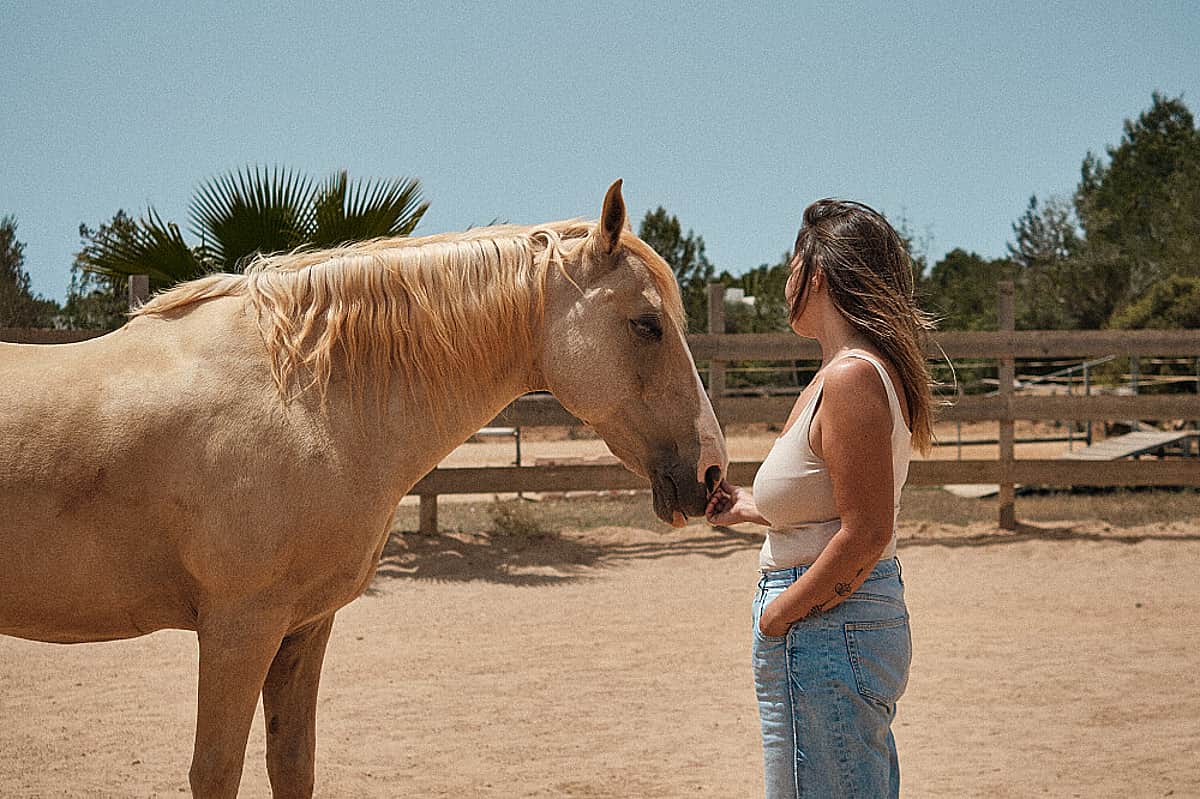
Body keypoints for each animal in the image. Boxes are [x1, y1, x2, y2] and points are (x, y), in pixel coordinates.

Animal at [0, 180, 727, 797]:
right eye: (648, 323)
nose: (712, 475)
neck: (298, 399)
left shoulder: (302, 626)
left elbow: (292, 763)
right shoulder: (239, 626)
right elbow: (217, 769)